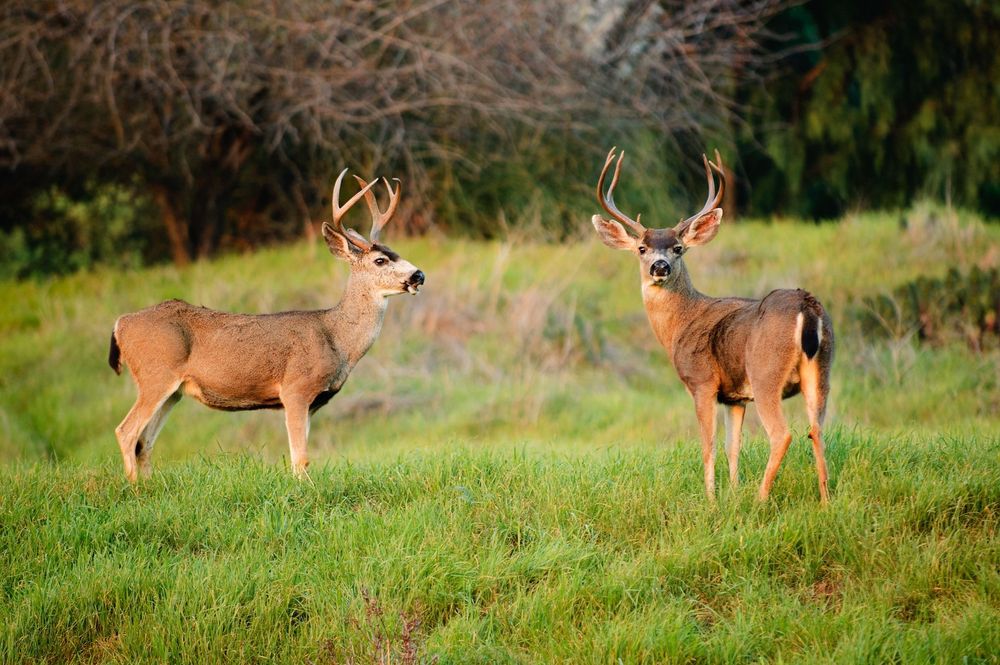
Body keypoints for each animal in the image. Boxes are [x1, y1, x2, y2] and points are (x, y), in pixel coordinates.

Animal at [107, 169, 425, 482]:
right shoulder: (296, 388)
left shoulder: (312, 403)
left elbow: (301, 457)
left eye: (395, 253)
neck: (336, 337)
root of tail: (120, 324)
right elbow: (300, 458)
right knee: (126, 432)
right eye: (380, 260)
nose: (418, 275)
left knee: (144, 442)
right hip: (156, 375)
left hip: (173, 391)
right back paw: (135, 488)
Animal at [591, 148, 834, 502]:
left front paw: (712, 500)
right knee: (817, 429)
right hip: (822, 368)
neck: (680, 324)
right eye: (641, 248)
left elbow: (709, 447)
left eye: (678, 248)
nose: (660, 267)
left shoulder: (702, 382)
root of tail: (807, 307)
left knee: (782, 434)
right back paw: (826, 502)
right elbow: (734, 446)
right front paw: (732, 495)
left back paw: (761, 500)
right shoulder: (734, 397)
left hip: (765, 372)